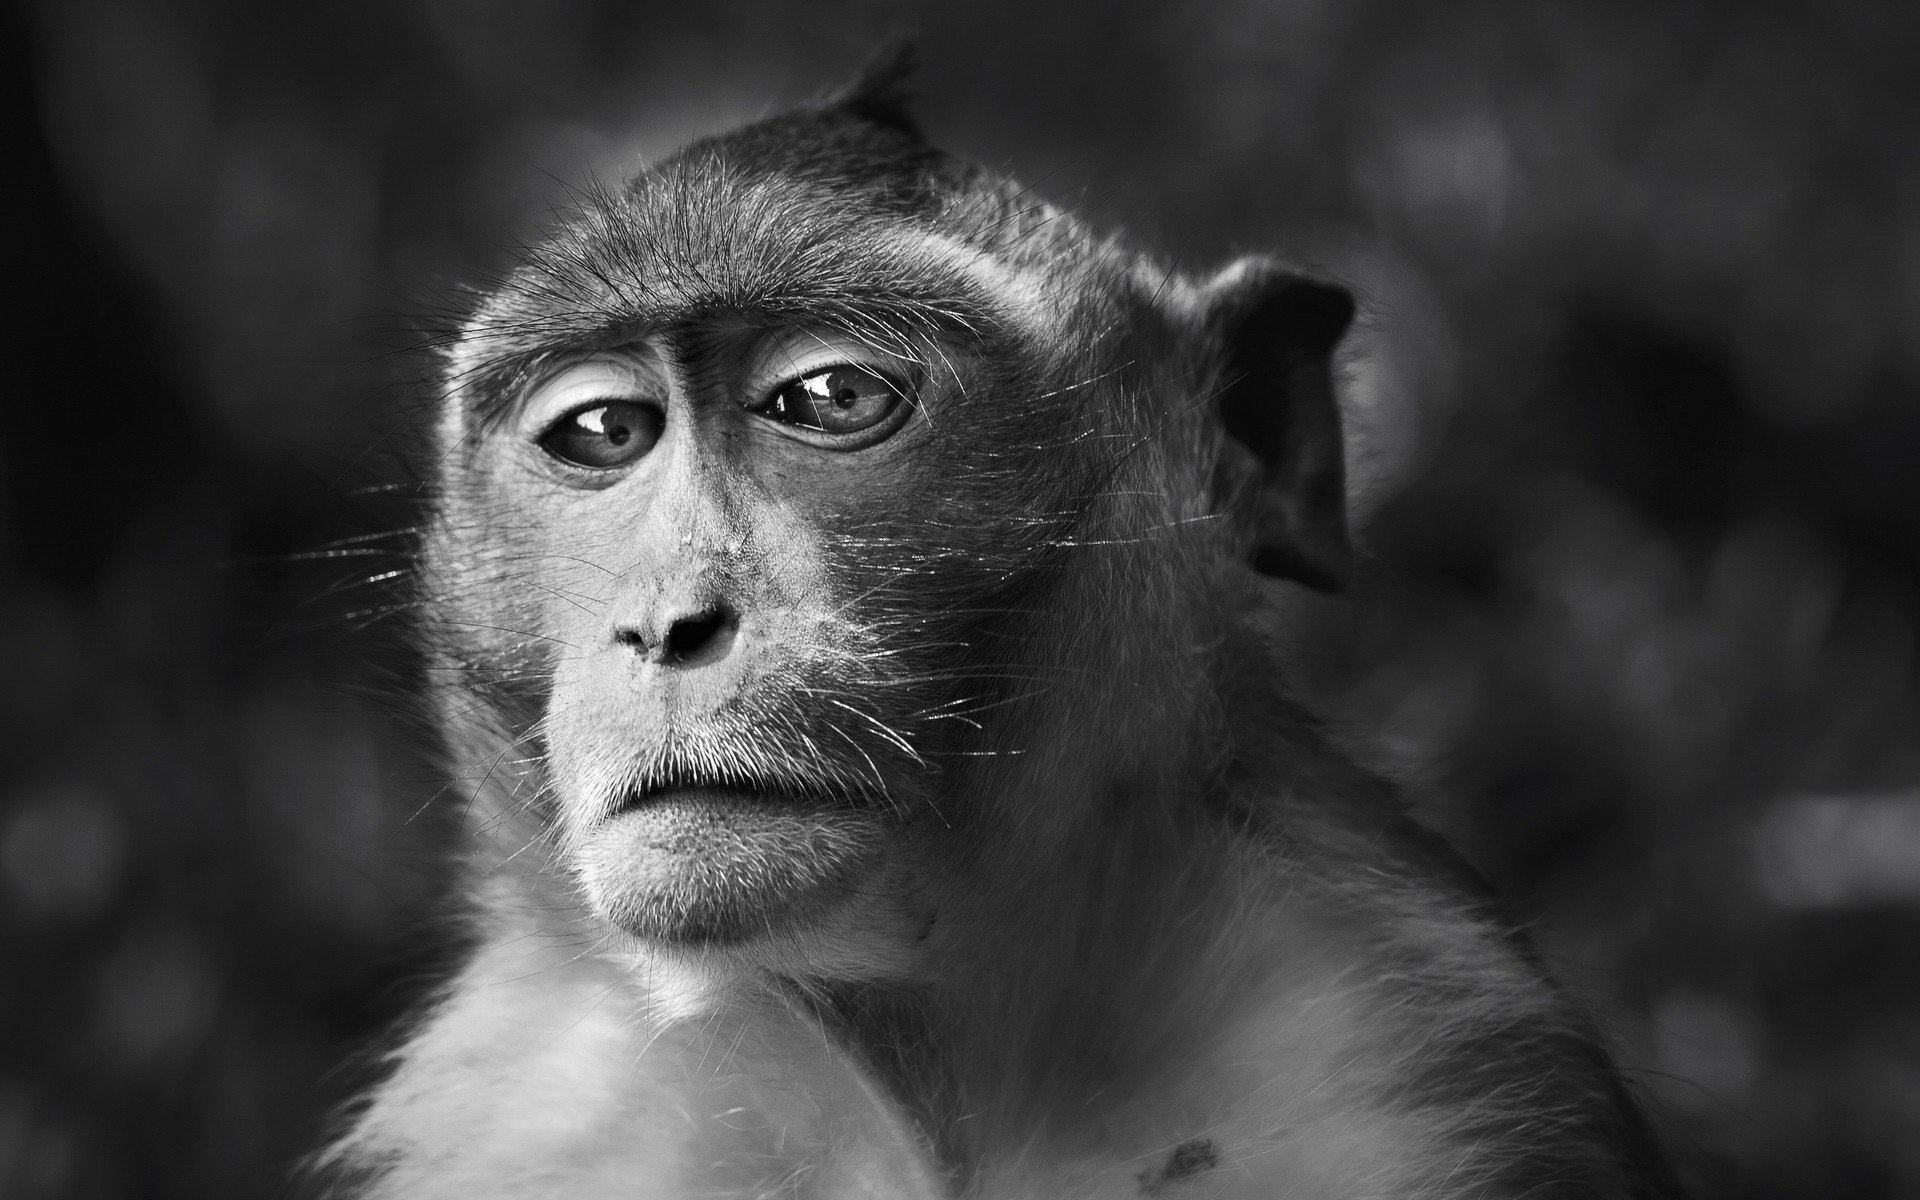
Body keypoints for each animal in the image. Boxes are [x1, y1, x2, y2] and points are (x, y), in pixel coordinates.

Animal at [322, 55, 1674, 1200]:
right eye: (604, 431)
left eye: (829, 397)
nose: (668, 624)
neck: (925, 1087)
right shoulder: (518, 1117)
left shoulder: (1432, 1063)